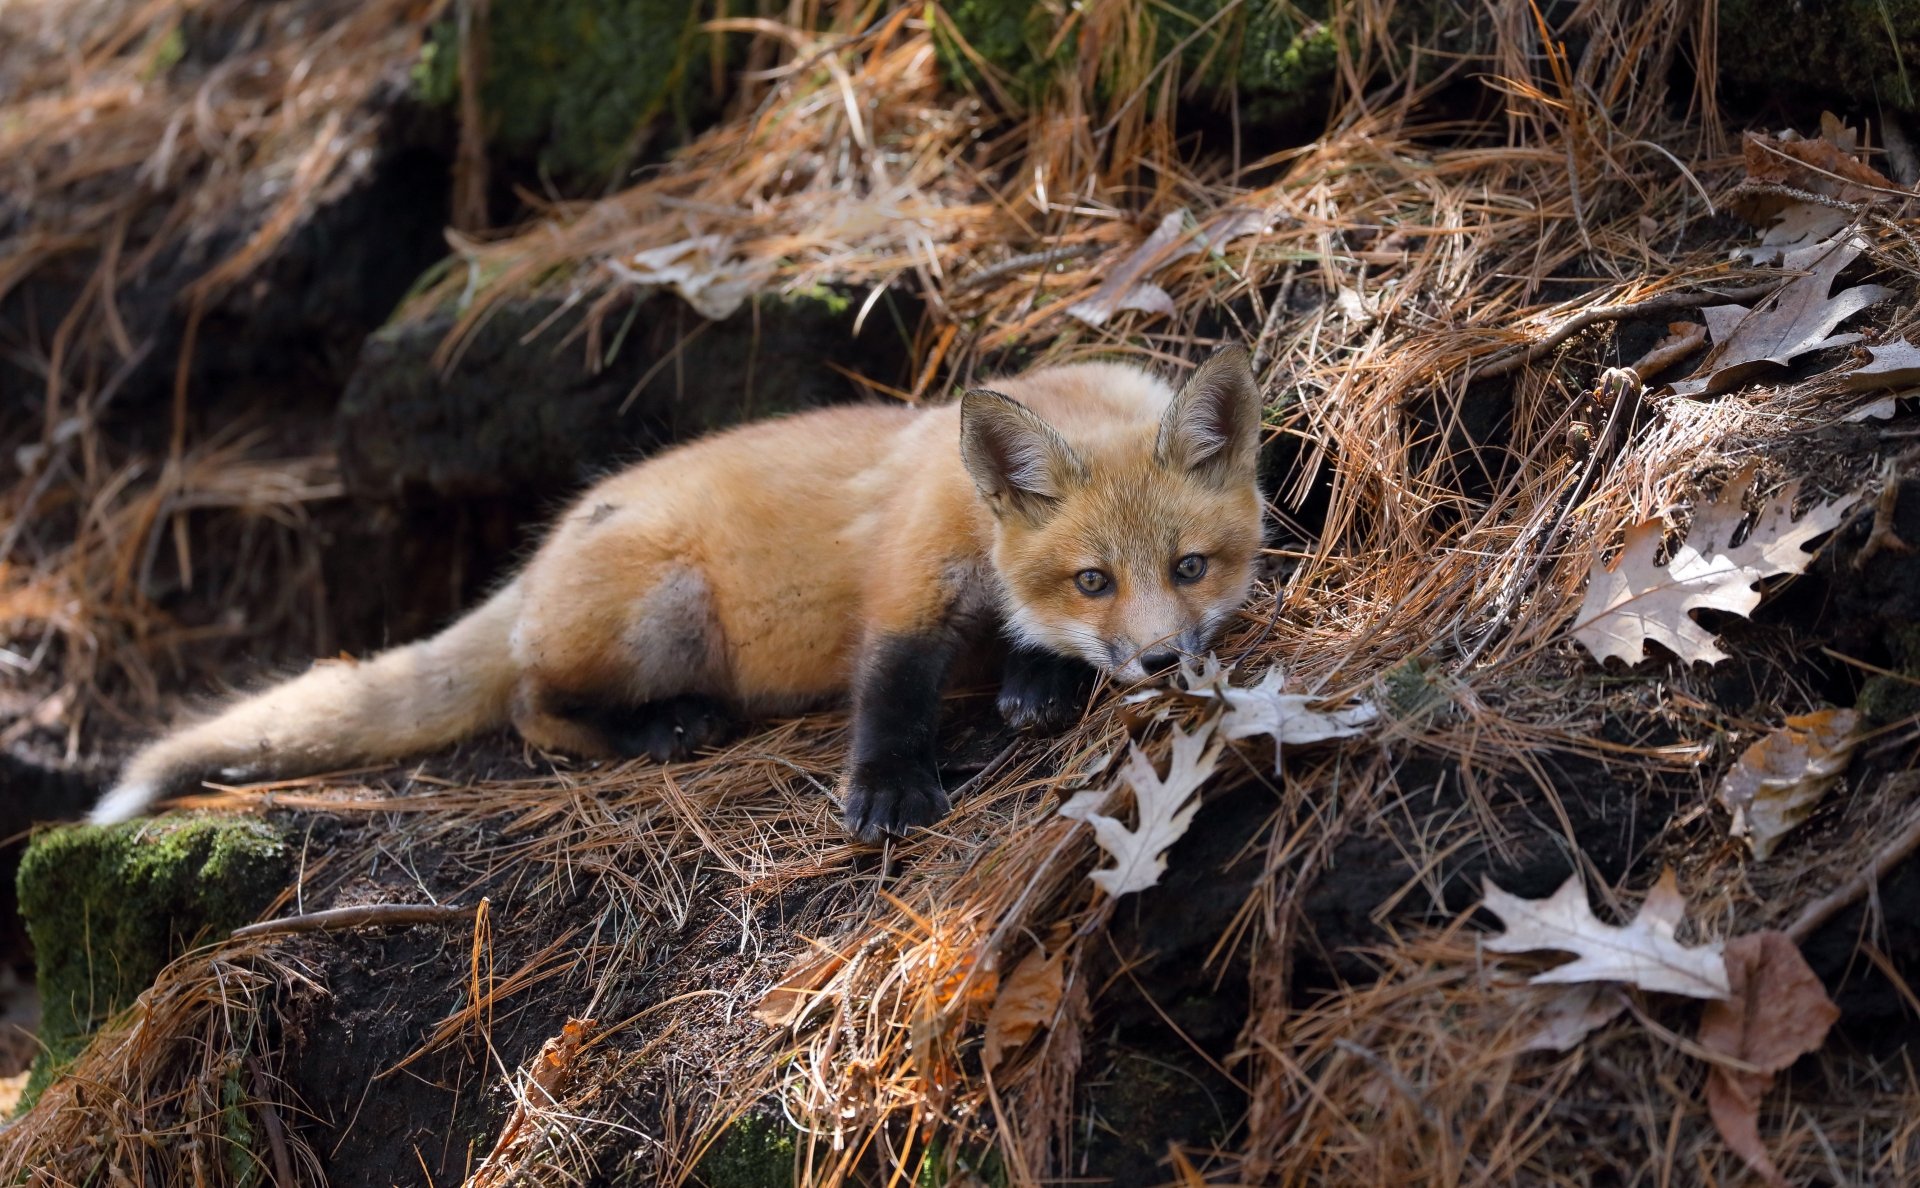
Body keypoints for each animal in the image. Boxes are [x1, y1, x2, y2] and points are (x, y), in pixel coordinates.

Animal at [87, 345, 1265, 839]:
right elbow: (890, 694)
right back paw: (664, 728)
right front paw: (888, 791)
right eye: (1094, 577)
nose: (1163, 661)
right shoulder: (906, 583)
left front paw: (1035, 684)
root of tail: (534, 562)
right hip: (662, 606)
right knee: (532, 706)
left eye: (1189, 568)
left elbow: (1034, 649)